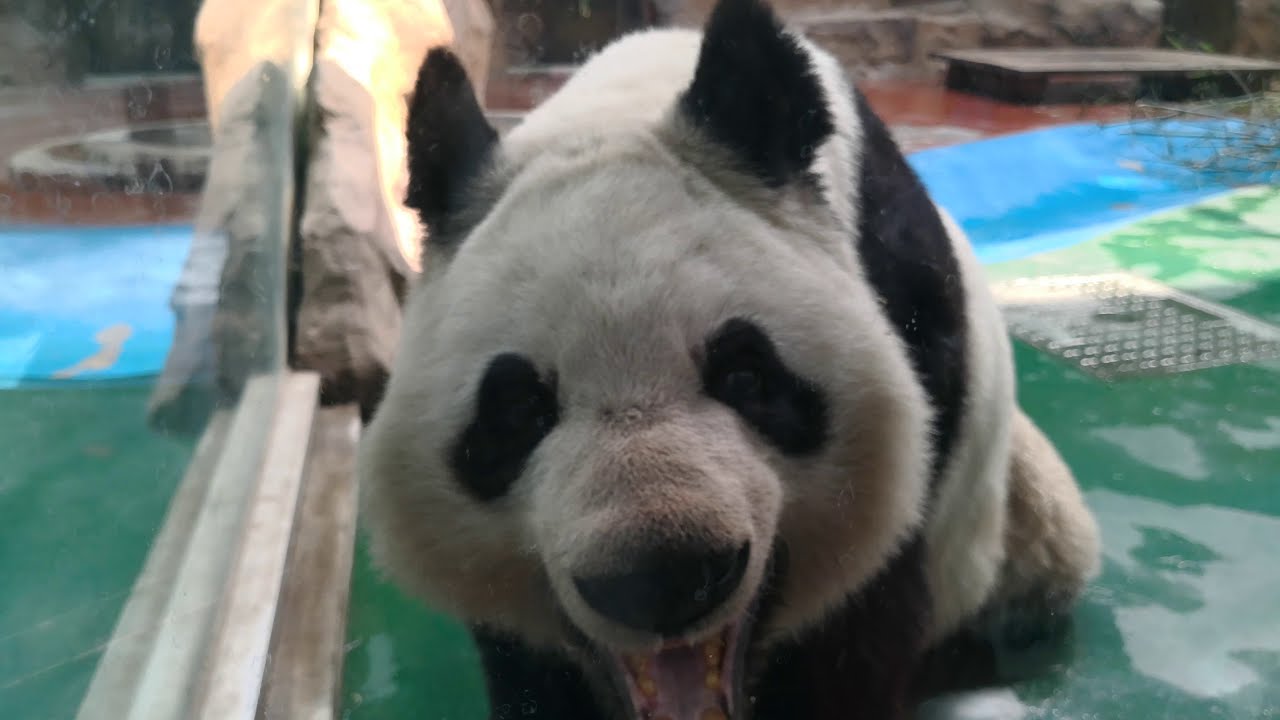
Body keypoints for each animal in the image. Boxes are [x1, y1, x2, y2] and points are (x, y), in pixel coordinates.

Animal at [356, 0, 1103, 716]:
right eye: (518, 410)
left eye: (745, 375)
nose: (660, 578)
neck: (628, 104)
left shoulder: (920, 377)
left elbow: (860, 629)